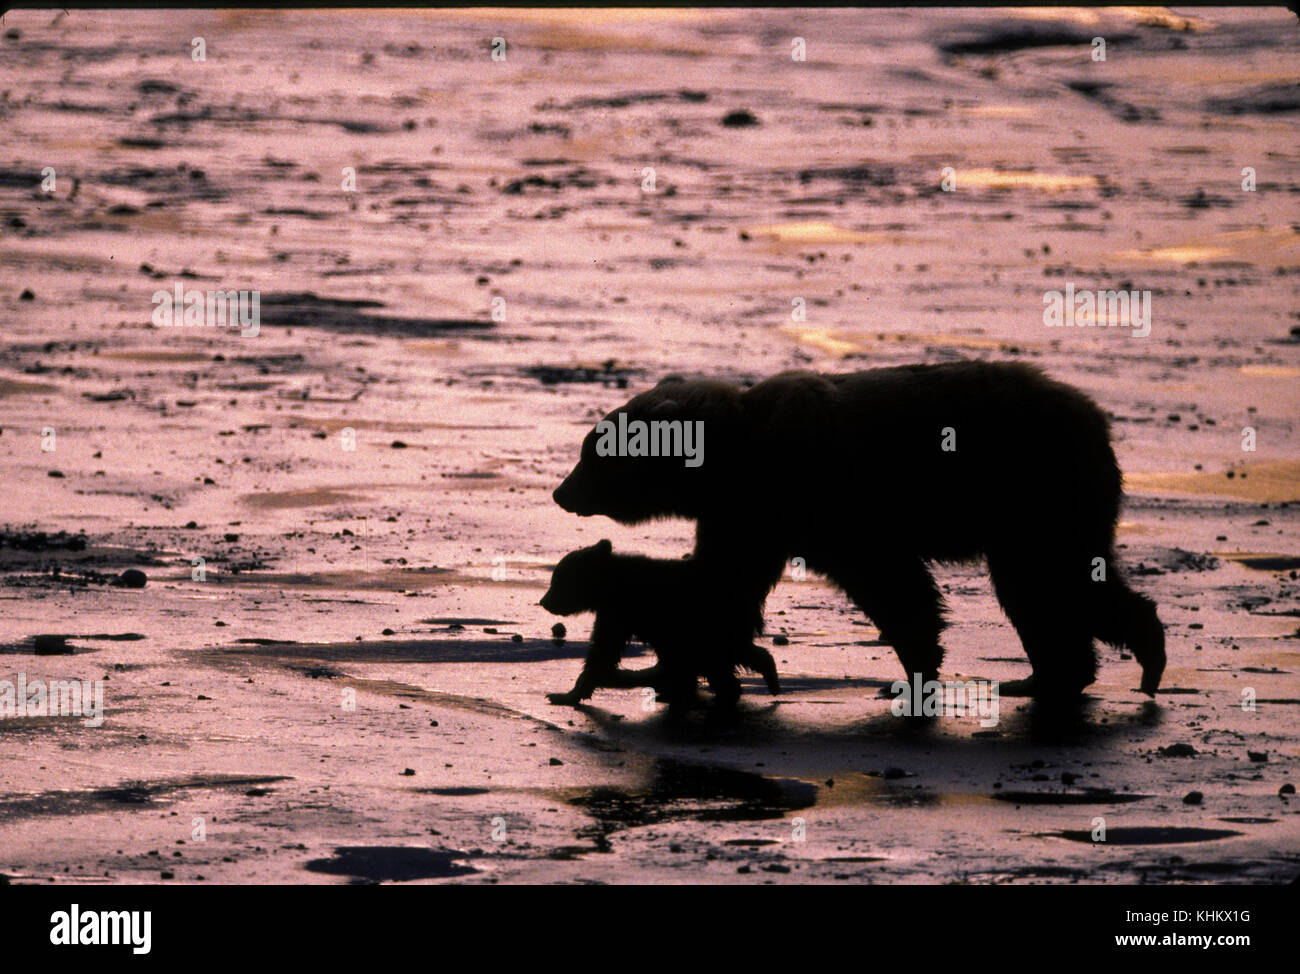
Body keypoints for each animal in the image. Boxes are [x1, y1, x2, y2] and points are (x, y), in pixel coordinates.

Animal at [539, 539, 781, 707]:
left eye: (557, 581)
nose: (544, 601)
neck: (609, 587)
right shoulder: (616, 613)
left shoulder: (620, 612)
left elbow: (603, 651)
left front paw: (565, 695)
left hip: (708, 624)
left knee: (717, 657)